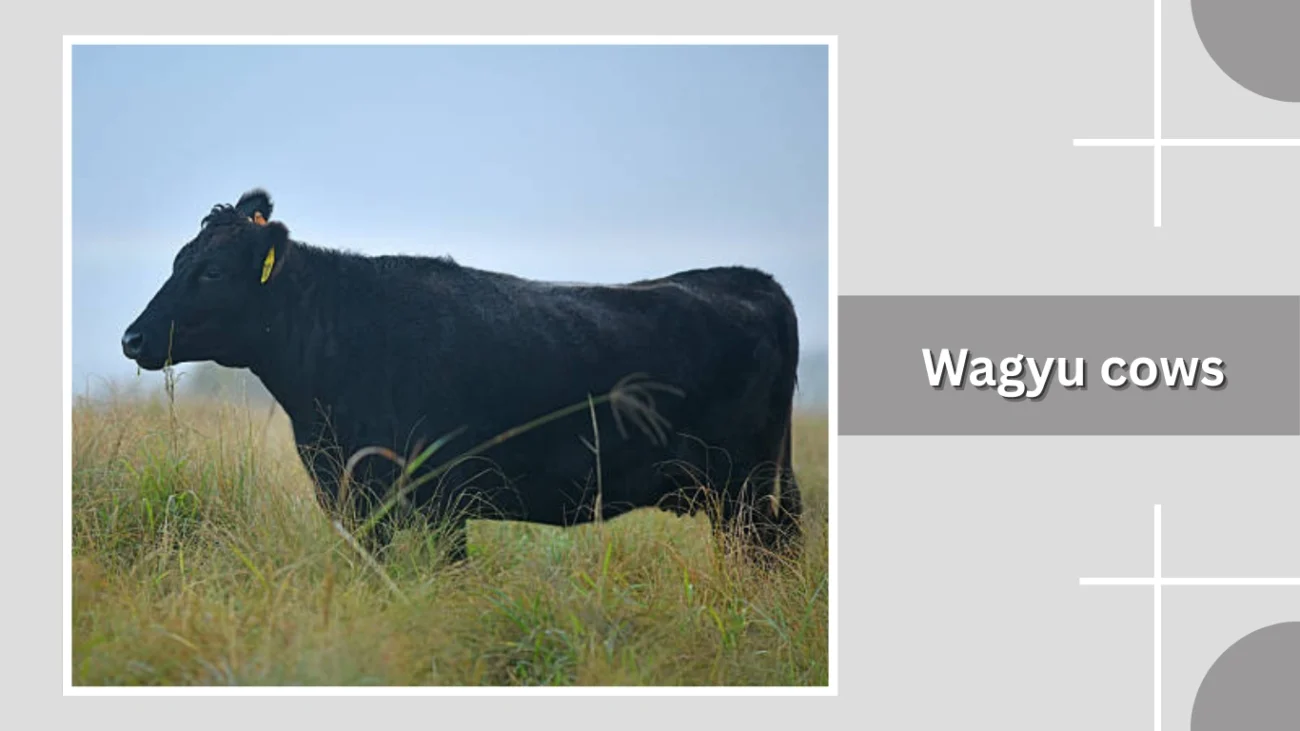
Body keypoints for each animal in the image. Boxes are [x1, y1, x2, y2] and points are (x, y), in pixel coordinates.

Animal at [121, 189, 804, 564]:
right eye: (178, 261)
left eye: (212, 272)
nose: (133, 338)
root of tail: (749, 280)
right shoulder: (353, 498)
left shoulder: (437, 498)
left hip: (744, 489)